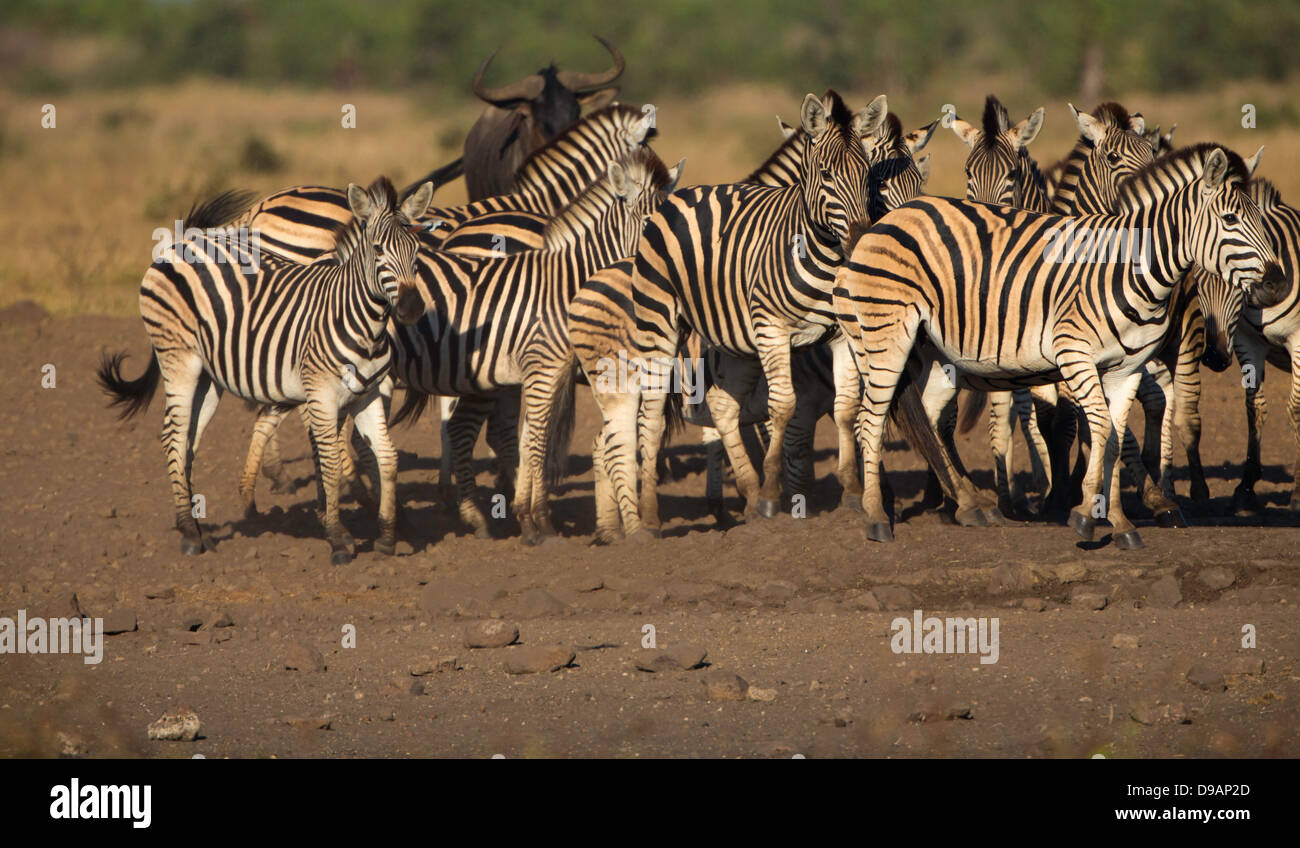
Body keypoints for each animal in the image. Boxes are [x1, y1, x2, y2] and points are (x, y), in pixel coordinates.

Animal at [98, 178, 433, 563]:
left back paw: (198, 529)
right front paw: (338, 539)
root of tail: (182, 243)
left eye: (417, 250)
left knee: (189, 442)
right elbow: (331, 461)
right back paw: (189, 534)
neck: (362, 321)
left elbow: (387, 458)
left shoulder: (369, 395)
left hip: (208, 378)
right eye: (378, 250)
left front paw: (387, 537)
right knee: (173, 436)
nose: (411, 307)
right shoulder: (321, 393)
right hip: (178, 359)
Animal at [833, 143, 1285, 549]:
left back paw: (964, 504)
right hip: (886, 336)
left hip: (935, 354)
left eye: (1262, 222)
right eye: (1230, 219)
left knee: (927, 421)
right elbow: (1098, 428)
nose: (1278, 283)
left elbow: (1115, 438)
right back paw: (877, 517)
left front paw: (1120, 523)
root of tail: (882, 223)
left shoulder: (1125, 370)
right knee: (870, 420)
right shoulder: (1074, 355)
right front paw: (1083, 514)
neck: (1129, 269)